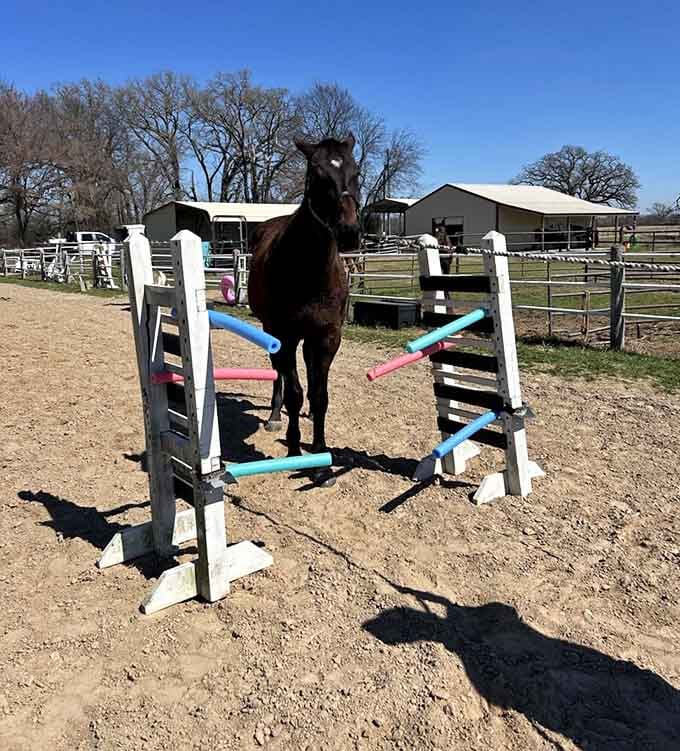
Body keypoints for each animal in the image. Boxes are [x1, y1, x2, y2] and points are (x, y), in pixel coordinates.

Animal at [247, 134, 360, 486]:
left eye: (356, 172)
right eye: (318, 175)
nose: (349, 232)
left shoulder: (326, 338)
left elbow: (319, 397)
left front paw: (322, 462)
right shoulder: (284, 336)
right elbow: (295, 392)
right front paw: (296, 449)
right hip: (274, 334)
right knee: (279, 376)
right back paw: (274, 415)